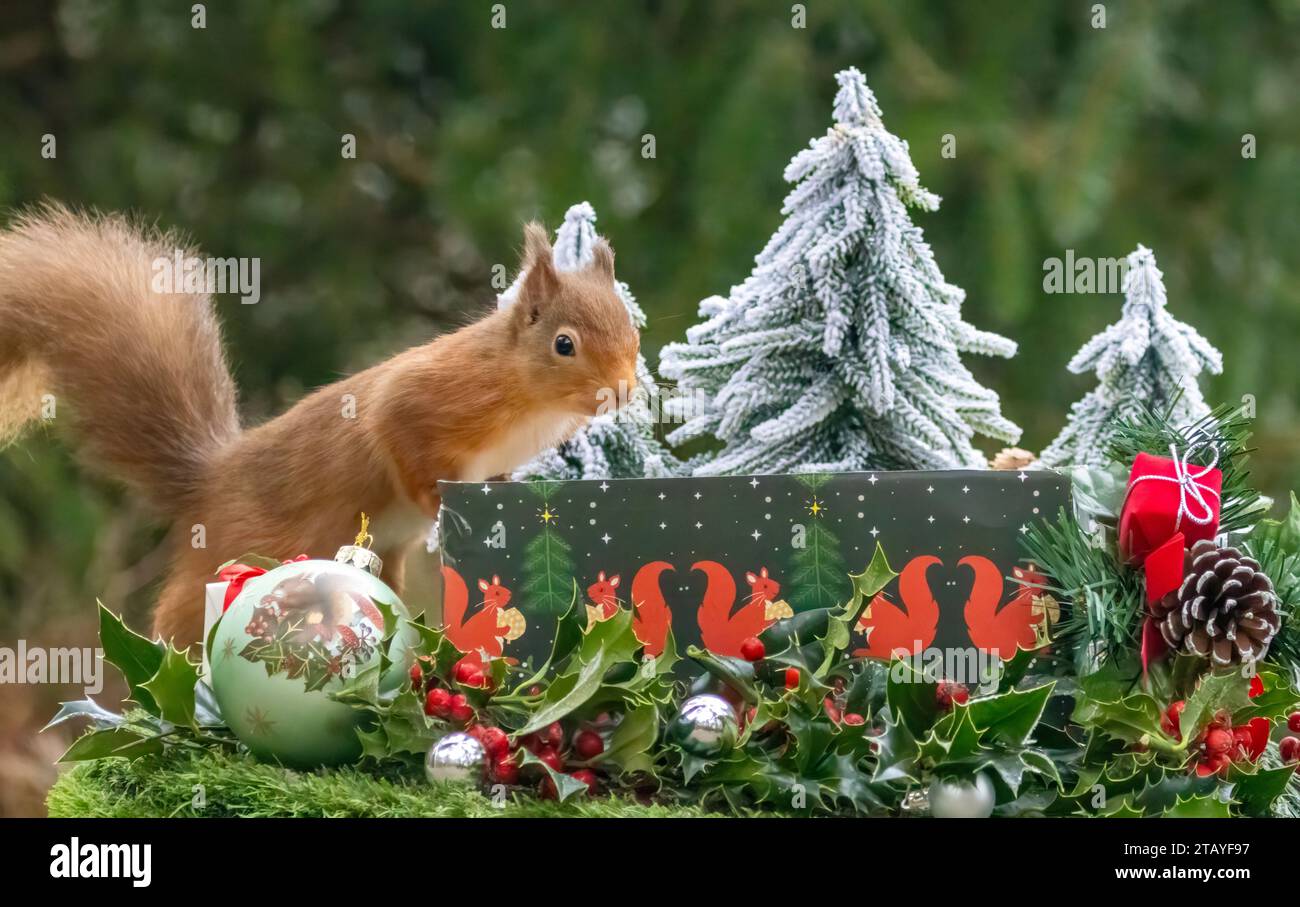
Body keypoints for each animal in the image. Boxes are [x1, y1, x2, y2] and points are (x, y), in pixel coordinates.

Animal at [0, 203, 640, 646]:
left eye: (631, 330)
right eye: (564, 344)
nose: (623, 391)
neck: (529, 399)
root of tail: (207, 482)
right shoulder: (422, 400)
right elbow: (400, 445)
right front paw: (442, 507)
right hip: (247, 545)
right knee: (184, 609)